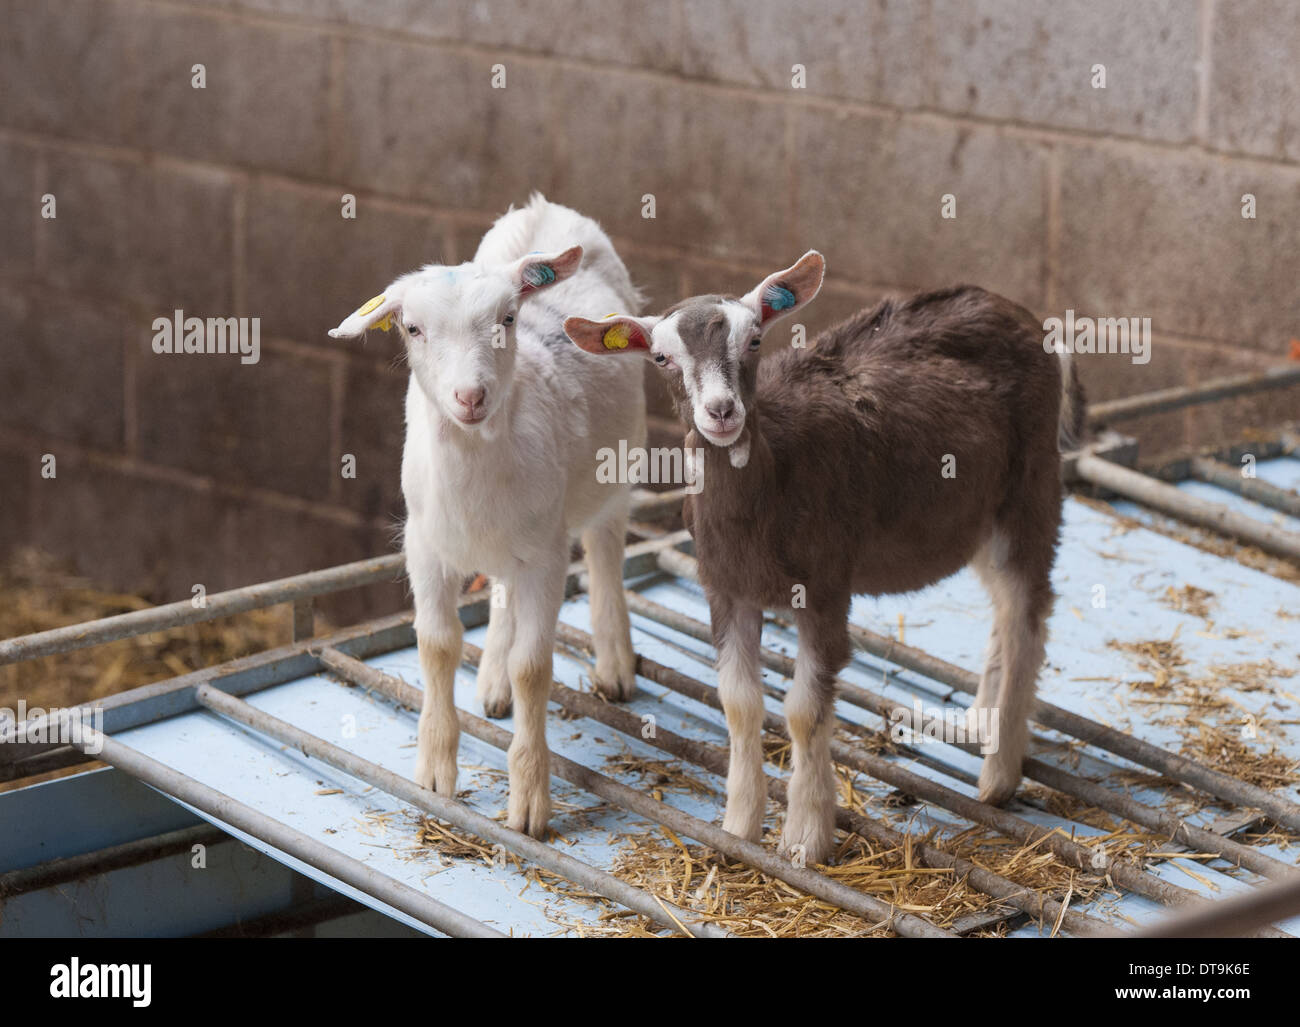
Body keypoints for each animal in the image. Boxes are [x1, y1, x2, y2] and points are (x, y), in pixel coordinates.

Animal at [330, 195, 646, 838]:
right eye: (413, 328)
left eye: (506, 319)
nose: (470, 397)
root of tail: (546, 209)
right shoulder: (426, 546)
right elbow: (436, 645)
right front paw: (434, 772)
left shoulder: (547, 556)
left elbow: (535, 668)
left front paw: (529, 803)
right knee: (502, 592)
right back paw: (494, 680)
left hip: (615, 471)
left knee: (606, 551)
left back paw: (614, 665)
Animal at [565, 252, 1083, 865]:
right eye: (662, 357)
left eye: (755, 340)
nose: (721, 412)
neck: (772, 480)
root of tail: (1017, 313)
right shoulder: (725, 587)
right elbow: (740, 702)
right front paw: (739, 828)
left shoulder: (825, 584)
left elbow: (804, 709)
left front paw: (806, 839)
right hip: (975, 515)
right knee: (1004, 603)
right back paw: (983, 719)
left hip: (1031, 484)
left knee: (1030, 609)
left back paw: (999, 774)